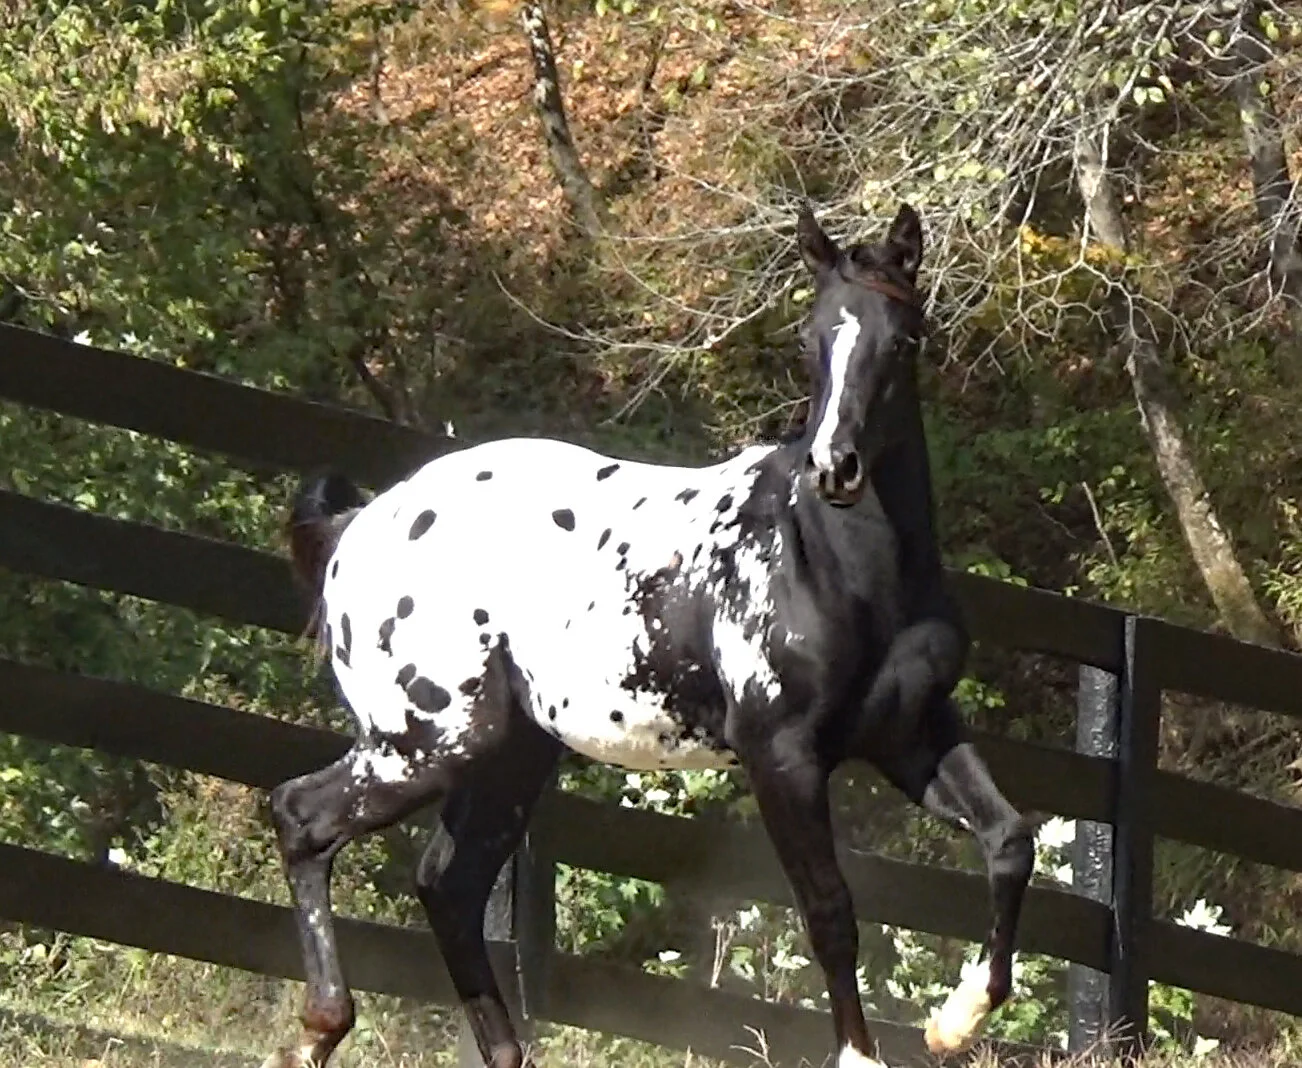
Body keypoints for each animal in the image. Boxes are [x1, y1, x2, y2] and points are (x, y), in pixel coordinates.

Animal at [260, 202, 1038, 1068]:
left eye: (902, 340)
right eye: (811, 339)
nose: (835, 468)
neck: (837, 564)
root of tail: (360, 525)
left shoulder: (908, 733)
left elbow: (1010, 840)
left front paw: (954, 1019)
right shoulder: (783, 756)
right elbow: (831, 912)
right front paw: (861, 1055)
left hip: (507, 756)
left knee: (448, 886)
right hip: (427, 740)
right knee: (303, 818)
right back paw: (320, 1025)